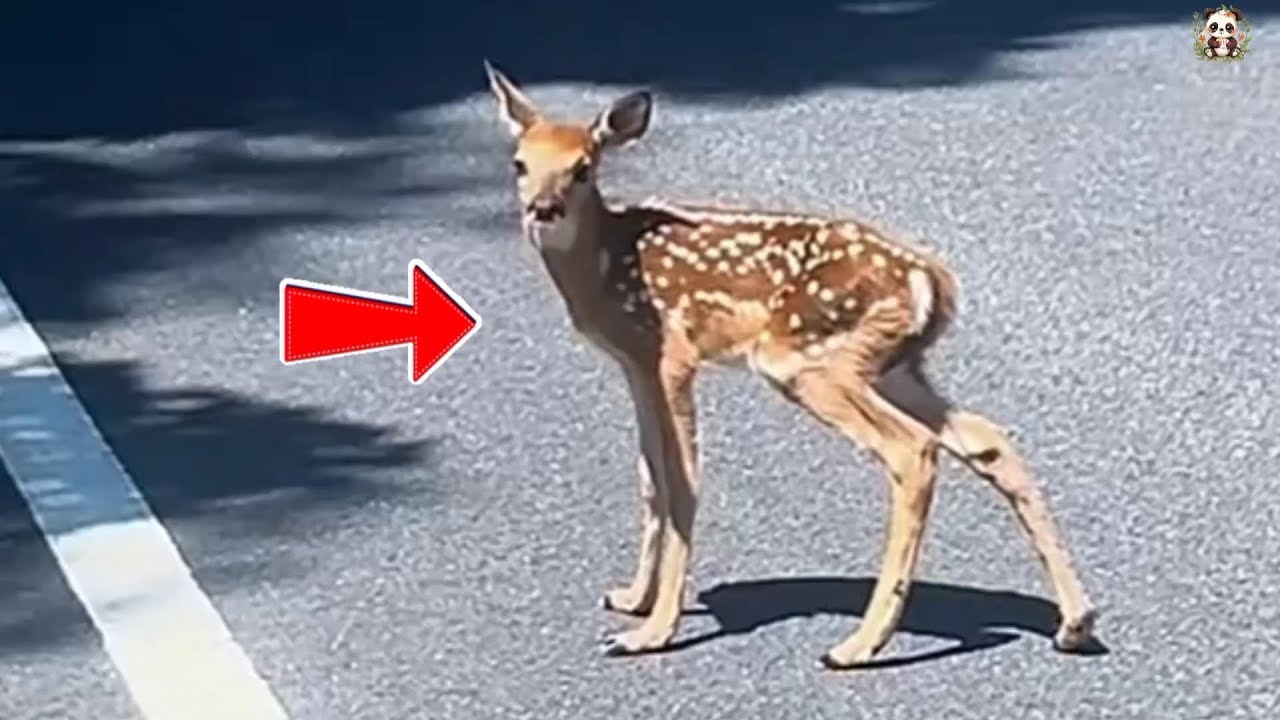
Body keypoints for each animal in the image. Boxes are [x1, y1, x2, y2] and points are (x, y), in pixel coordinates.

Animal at [481, 60, 1099, 669]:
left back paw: (858, 646)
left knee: (912, 449)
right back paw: (1076, 623)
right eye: (519, 163)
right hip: (890, 364)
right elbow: (650, 475)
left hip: (805, 357)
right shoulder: (633, 363)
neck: (605, 265)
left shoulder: (672, 354)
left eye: (583, 168)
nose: (542, 209)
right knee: (985, 439)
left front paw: (651, 632)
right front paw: (632, 599)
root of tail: (934, 282)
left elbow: (682, 480)